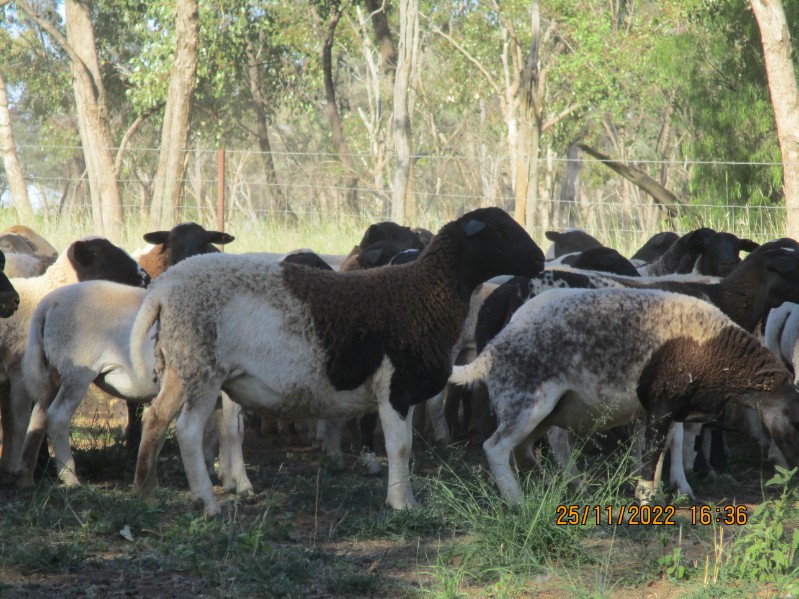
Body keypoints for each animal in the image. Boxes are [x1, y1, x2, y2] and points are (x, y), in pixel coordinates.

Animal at [0, 237, 150, 482]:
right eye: (102, 253)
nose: (146, 277)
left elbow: (20, 420)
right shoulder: (20, 374)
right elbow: (20, 420)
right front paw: (17, 468)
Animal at [128, 207, 545, 515]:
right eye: (501, 232)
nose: (541, 258)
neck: (427, 292)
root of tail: (163, 289)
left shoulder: (405, 392)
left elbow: (406, 444)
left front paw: (408, 500)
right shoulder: (394, 387)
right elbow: (399, 447)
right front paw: (400, 504)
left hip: (183, 366)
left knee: (157, 418)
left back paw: (145, 491)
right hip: (201, 368)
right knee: (187, 430)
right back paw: (206, 503)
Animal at [449, 287, 799, 505]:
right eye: (796, 423)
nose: (795, 469)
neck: (715, 348)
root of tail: (491, 351)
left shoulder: (664, 412)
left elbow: (658, 453)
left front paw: (658, 492)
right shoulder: (661, 406)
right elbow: (654, 454)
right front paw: (647, 499)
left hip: (545, 411)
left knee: (524, 450)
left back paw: (553, 489)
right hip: (526, 403)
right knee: (496, 448)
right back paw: (517, 502)